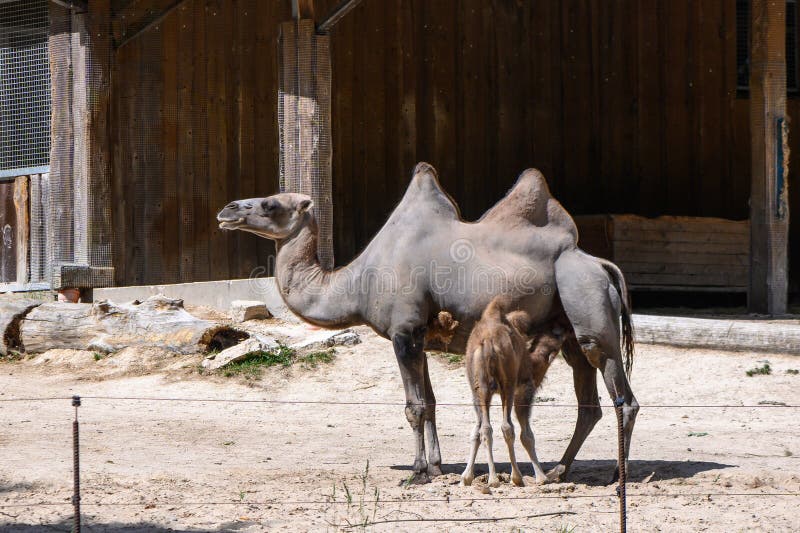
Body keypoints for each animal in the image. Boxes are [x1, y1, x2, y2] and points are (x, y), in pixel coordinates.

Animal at [461, 295, 566, 488]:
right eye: (557, 340)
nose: (563, 325)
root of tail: (487, 342)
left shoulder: (477, 395)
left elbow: (476, 431)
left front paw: (466, 477)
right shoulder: (524, 390)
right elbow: (527, 435)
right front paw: (542, 477)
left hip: (479, 386)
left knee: (486, 428)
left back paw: (493, 479)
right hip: (508, 385)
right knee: (507, 427)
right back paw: (514, 477)